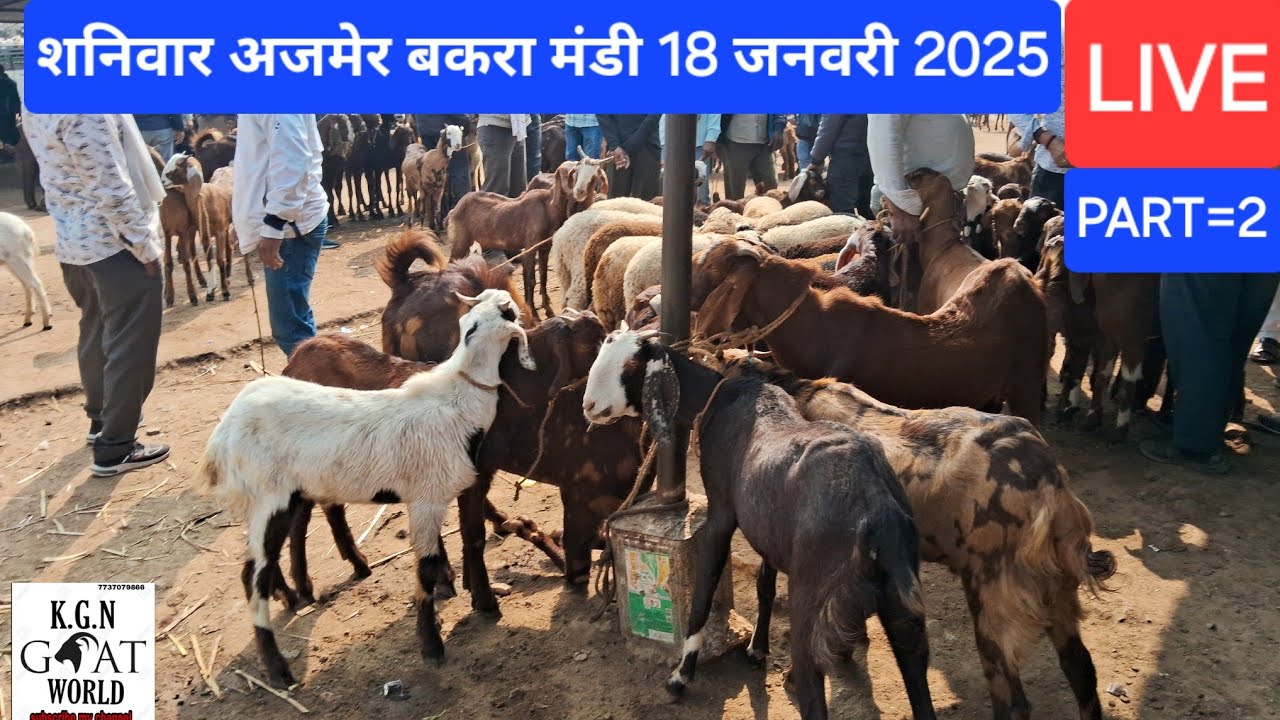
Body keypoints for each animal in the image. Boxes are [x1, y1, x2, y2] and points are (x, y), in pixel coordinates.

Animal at [196, 291, 534, 687]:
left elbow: (462, 545)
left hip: (285, 495)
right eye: (508, 315)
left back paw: (294, 597)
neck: (457, 400)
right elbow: (427, 568)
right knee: (253, 576)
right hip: (270, 498)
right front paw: (431, 645)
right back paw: (279, 669)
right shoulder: (426, 498)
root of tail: (223, 435)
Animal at [583, 333, 938, 720]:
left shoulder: (721, 513)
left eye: (631, 364)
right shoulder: (770, 530)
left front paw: (681, 676)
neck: (719, 397)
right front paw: (757, 648)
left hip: (812, 606)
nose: (589, 406)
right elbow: (764, 585)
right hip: (904, 618)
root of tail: (879, 517)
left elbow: (703, 590)